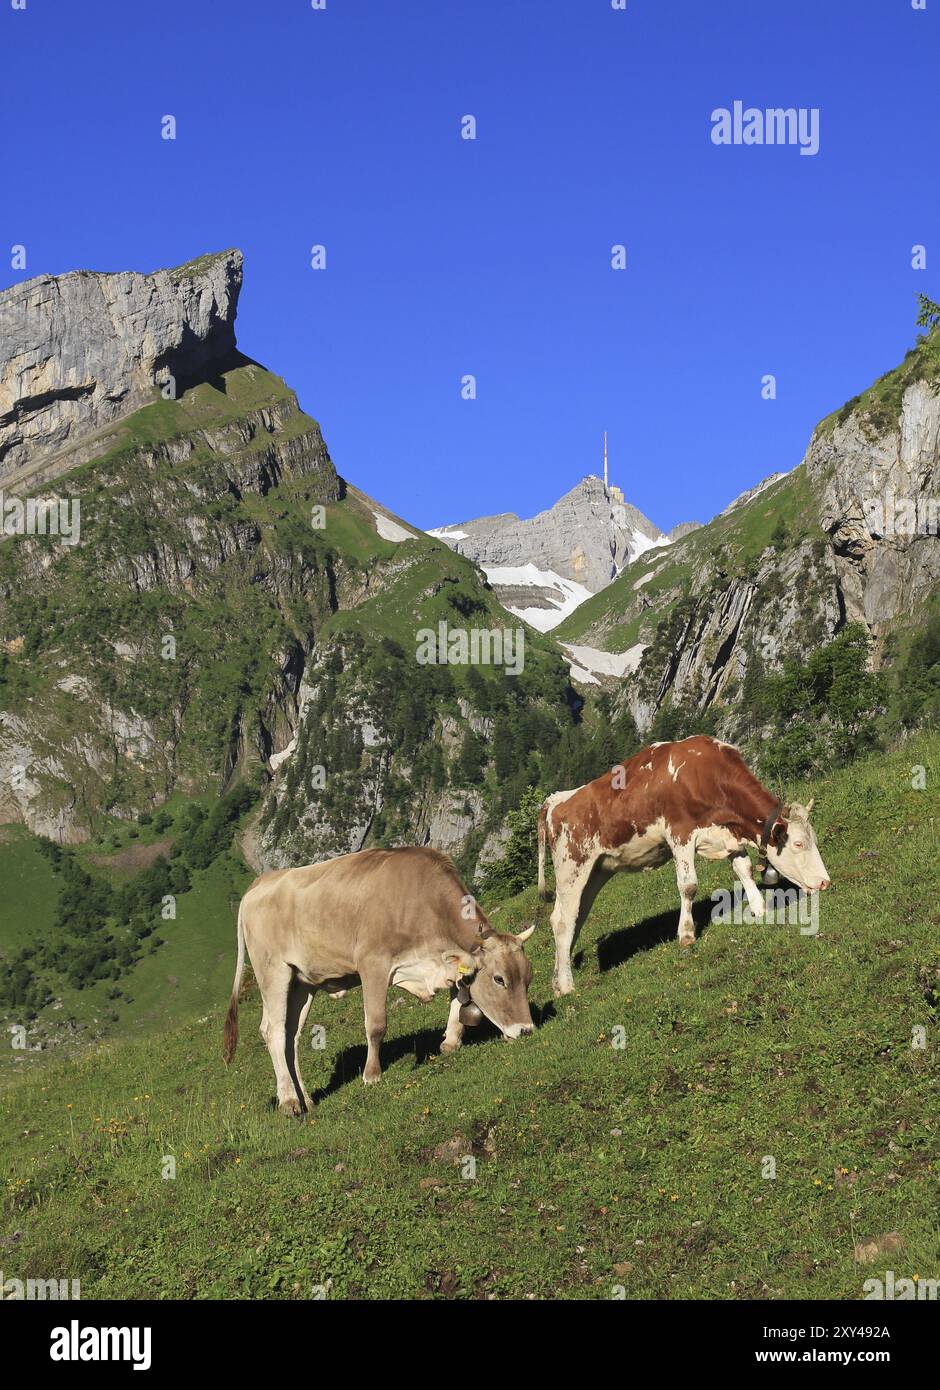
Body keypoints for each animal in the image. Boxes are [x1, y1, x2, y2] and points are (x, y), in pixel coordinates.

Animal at [223, 845, 536, 1115]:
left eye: (528, 977)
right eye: (499, 979)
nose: (527, 1030)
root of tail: (260, 883)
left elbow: (459, 998)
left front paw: (451, 1040)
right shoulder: (373, 964)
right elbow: (376, 1025)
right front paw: (372, 1075)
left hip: (302, 980)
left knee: (292, 1035)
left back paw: (306, 1100)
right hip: (273, 971)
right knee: (272, 1030)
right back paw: (289, 1102)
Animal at [538, 735, 830, 996]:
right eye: (798, 844)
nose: (824, 882)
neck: (703, 774)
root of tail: (554, 800)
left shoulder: (725, 832)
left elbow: (744, 869)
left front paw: (760, 908)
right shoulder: (679, 834)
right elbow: (688, 886)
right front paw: (687, 934)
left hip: (595, 871)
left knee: (571, 917)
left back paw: (557, 979)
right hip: (571, 868)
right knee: (563, 921)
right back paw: (567, 986)